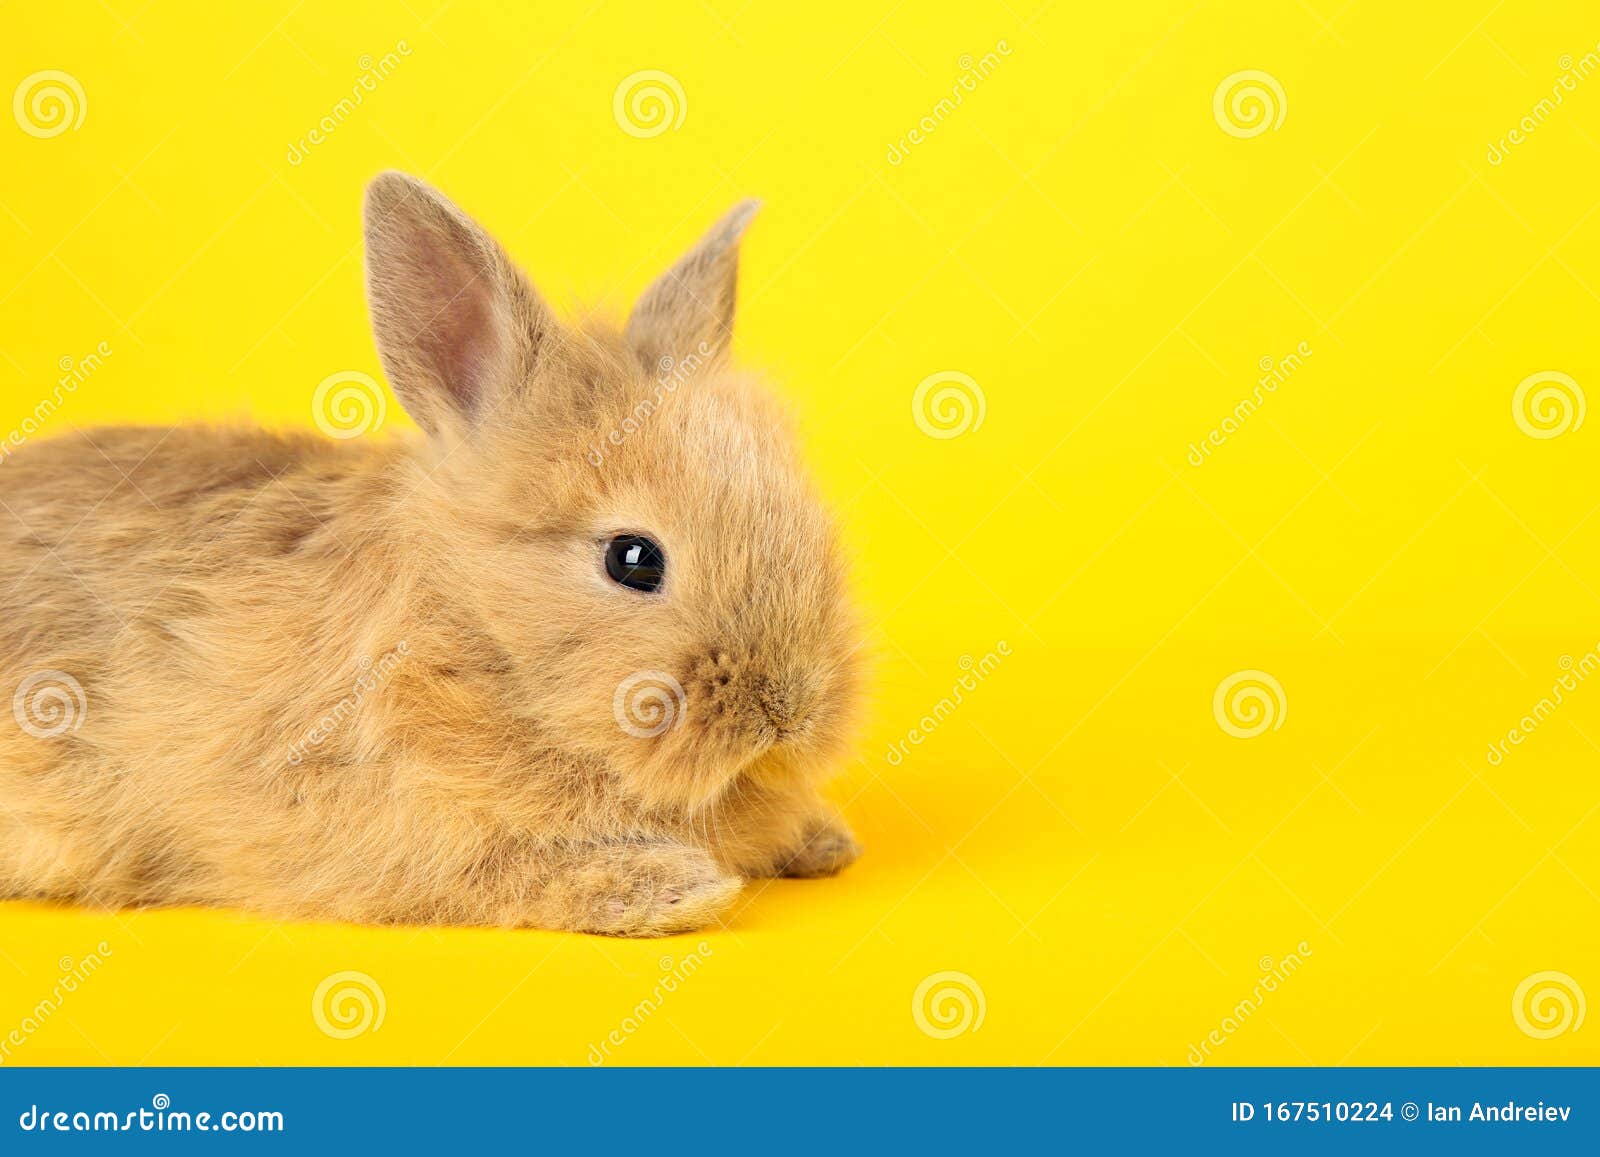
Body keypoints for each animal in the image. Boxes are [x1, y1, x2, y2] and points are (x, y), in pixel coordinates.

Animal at [0, 172, 864, 936]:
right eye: (633, 559)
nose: (792, 708)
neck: (475, 629)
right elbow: (495, 868)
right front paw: (673, 888)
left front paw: (822, 842)